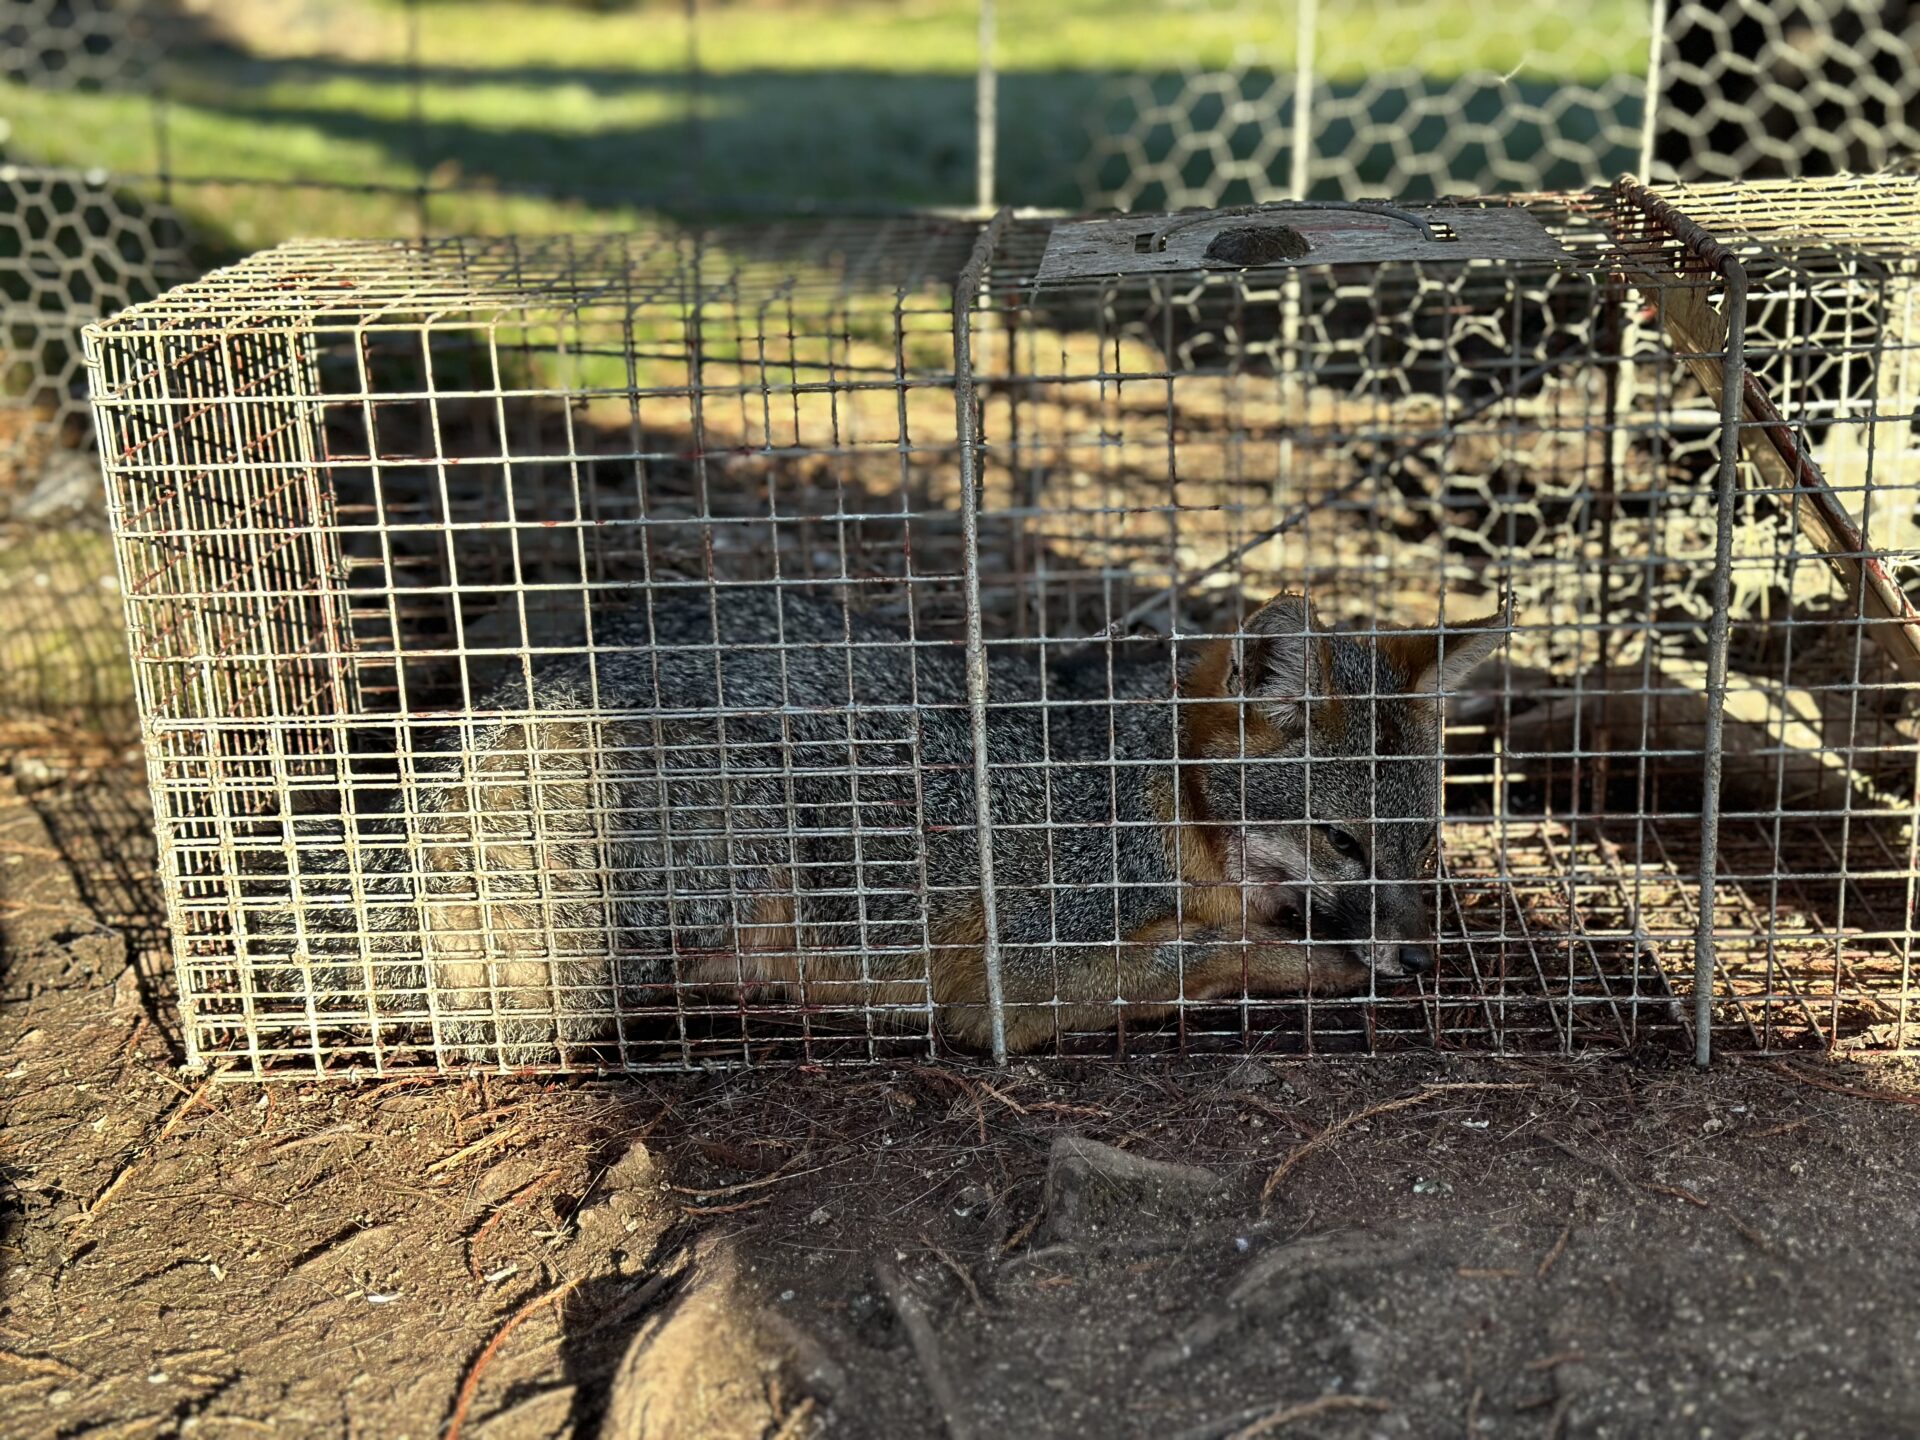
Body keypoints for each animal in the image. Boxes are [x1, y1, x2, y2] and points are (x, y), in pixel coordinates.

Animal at [266, 588, 1509, 1062]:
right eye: (1344, 842)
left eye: (1422, 845)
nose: (1421, 959)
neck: (1147, 791)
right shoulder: (1017, 981)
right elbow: (1213, 952)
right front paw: (1316, 960)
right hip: (739, 823)